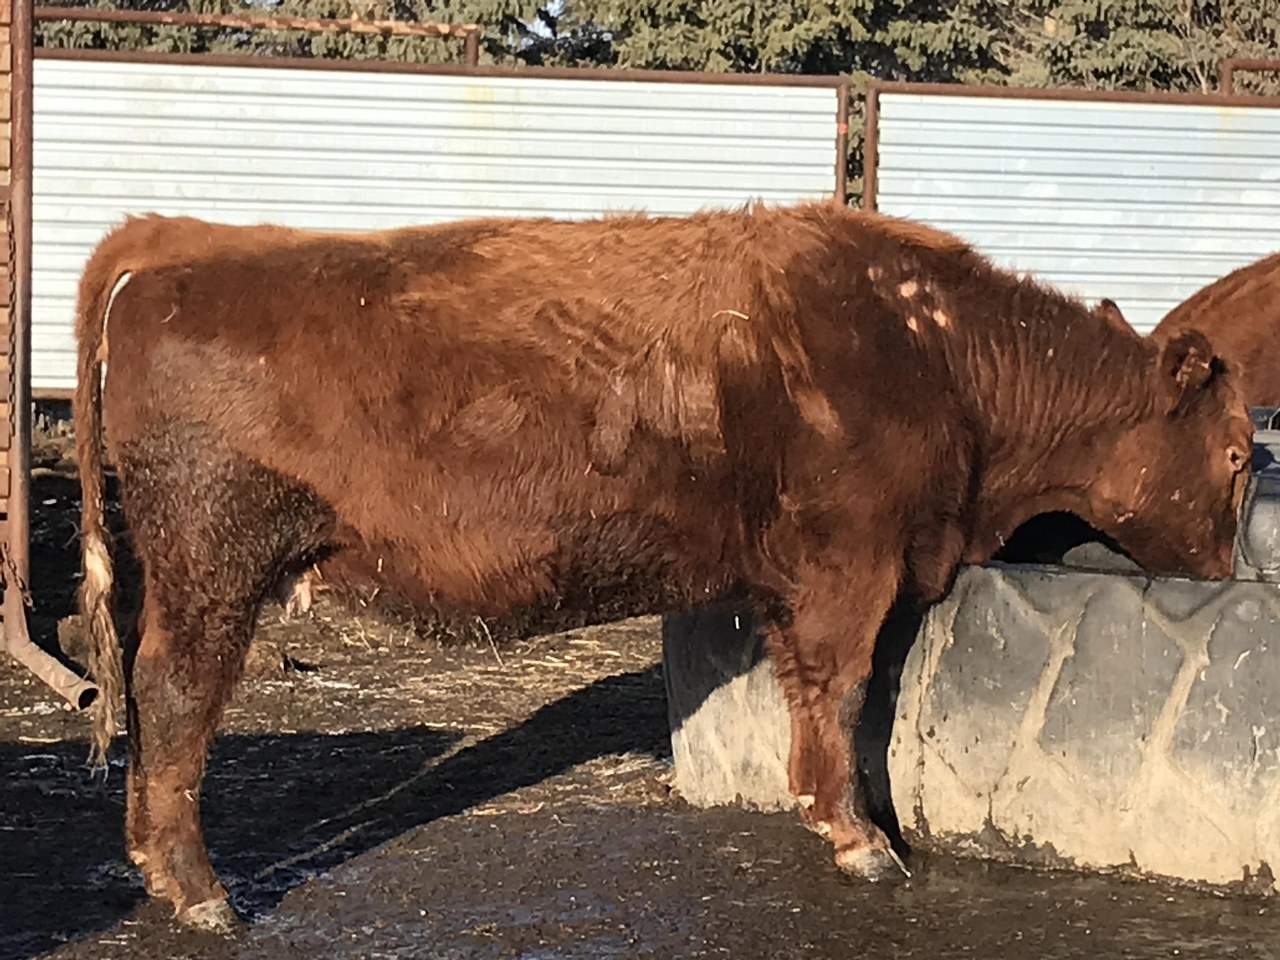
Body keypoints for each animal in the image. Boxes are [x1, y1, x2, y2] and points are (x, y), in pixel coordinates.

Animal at [72, 202, 1253, 932]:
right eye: (1241, 453)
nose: (1224, 571)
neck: (934, 350)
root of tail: (189, 245)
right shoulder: (849, 566)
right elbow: (839, 691)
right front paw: (862, 841)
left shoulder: (798, 584)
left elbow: (809, 694)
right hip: (211, 566)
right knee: (174, 701)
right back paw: (199, 891)